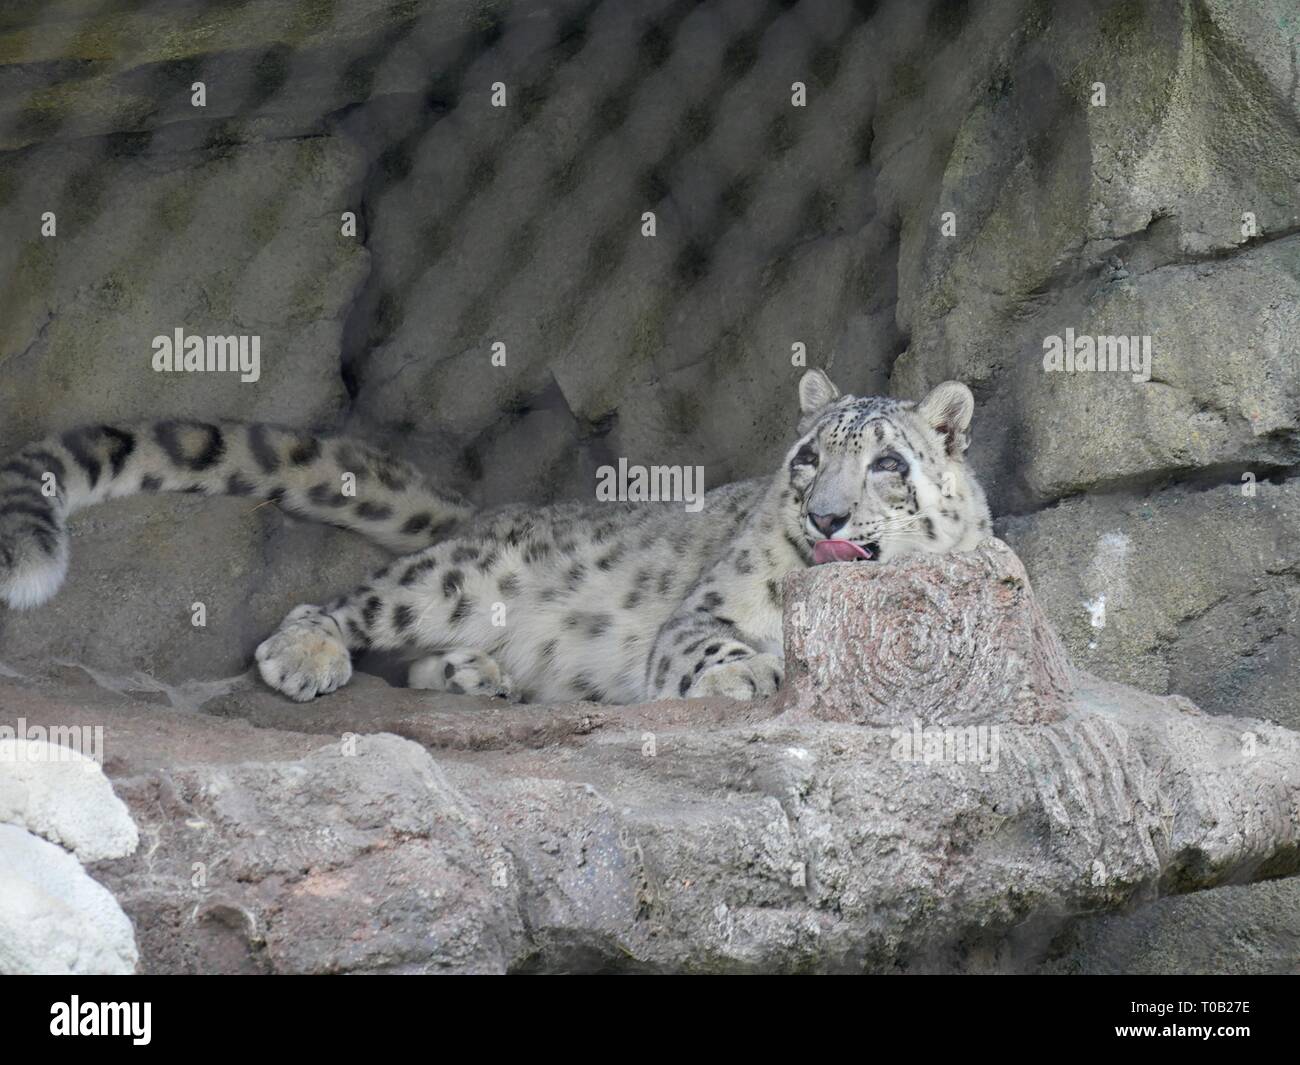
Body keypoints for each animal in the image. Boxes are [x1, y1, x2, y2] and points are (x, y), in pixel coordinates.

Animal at [0, 370, 991, 704]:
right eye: (808, 456)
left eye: (886, 464)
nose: (825, 515)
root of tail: (484, 513)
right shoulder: (701, 612)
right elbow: (708, 639)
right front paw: (745, 672)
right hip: (452, 580)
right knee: (347, 606)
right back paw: (307, 657)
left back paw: (487, 676)